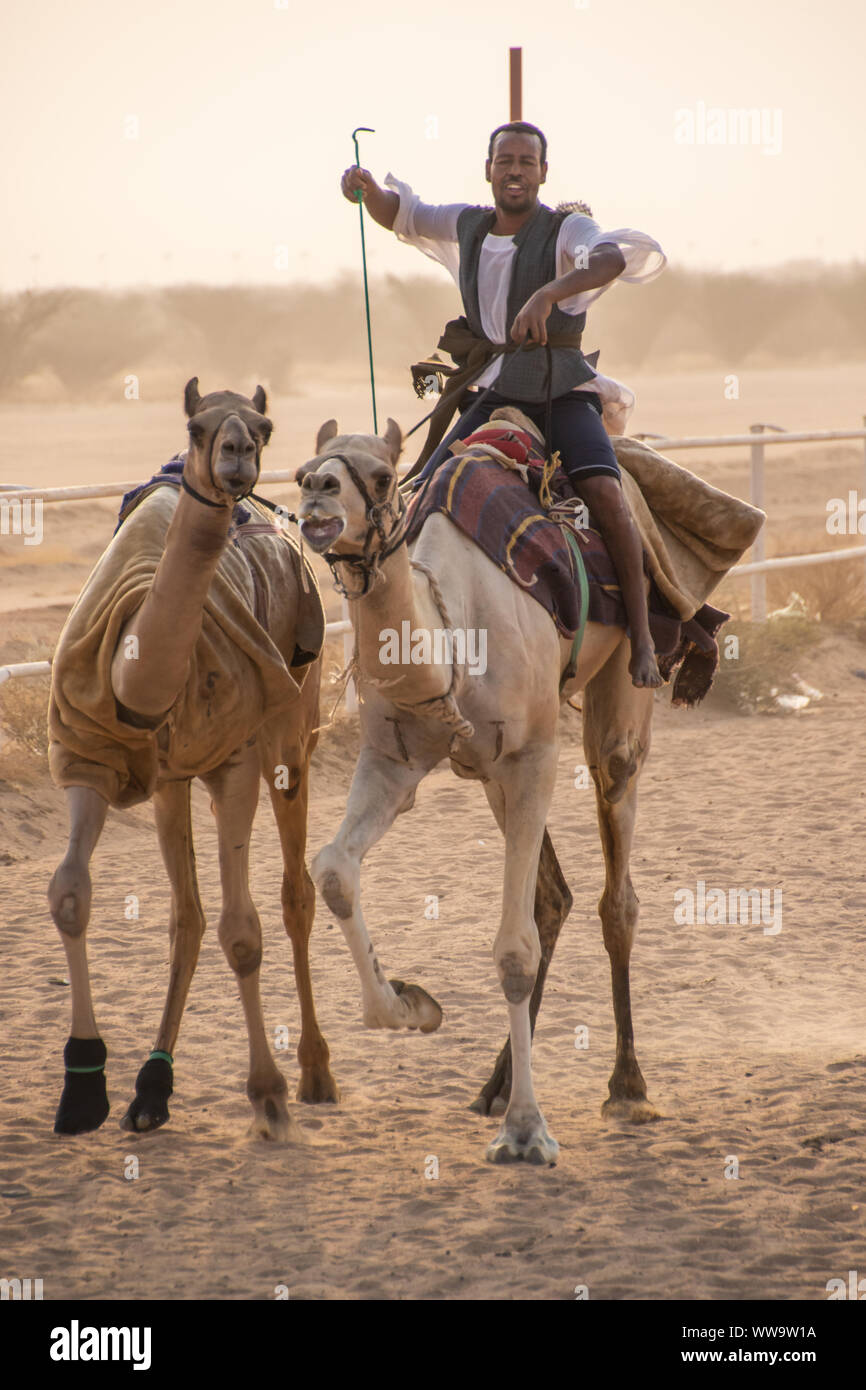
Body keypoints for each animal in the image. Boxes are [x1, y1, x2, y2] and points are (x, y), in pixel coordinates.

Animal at [47, 379, 338, 1141]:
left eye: (264, 425)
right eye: (197, 425)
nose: (237, 455)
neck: (138, 677)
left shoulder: (233, 763)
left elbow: (244, 932)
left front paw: (268, 1096)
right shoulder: (90, 758)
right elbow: (70, 896)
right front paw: (85, 1087)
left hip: (290, 733)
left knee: (294, 895)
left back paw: (314, 1073)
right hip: (170, 783)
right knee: (187, 916)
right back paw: (153, 1087)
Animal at [296, 412, 658, 1164]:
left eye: (381, 477)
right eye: (303, 468)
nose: (316, 492)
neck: (452, 629)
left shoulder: (534, 755)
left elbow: (514, 950)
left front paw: (525, 1132)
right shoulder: (395, 758)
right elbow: (335, 870)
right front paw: (407, 1004)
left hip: (615, 711)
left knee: (617, 890)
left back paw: (627, 1086)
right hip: (493, 777)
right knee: (554, 897)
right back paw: (493, 1086)